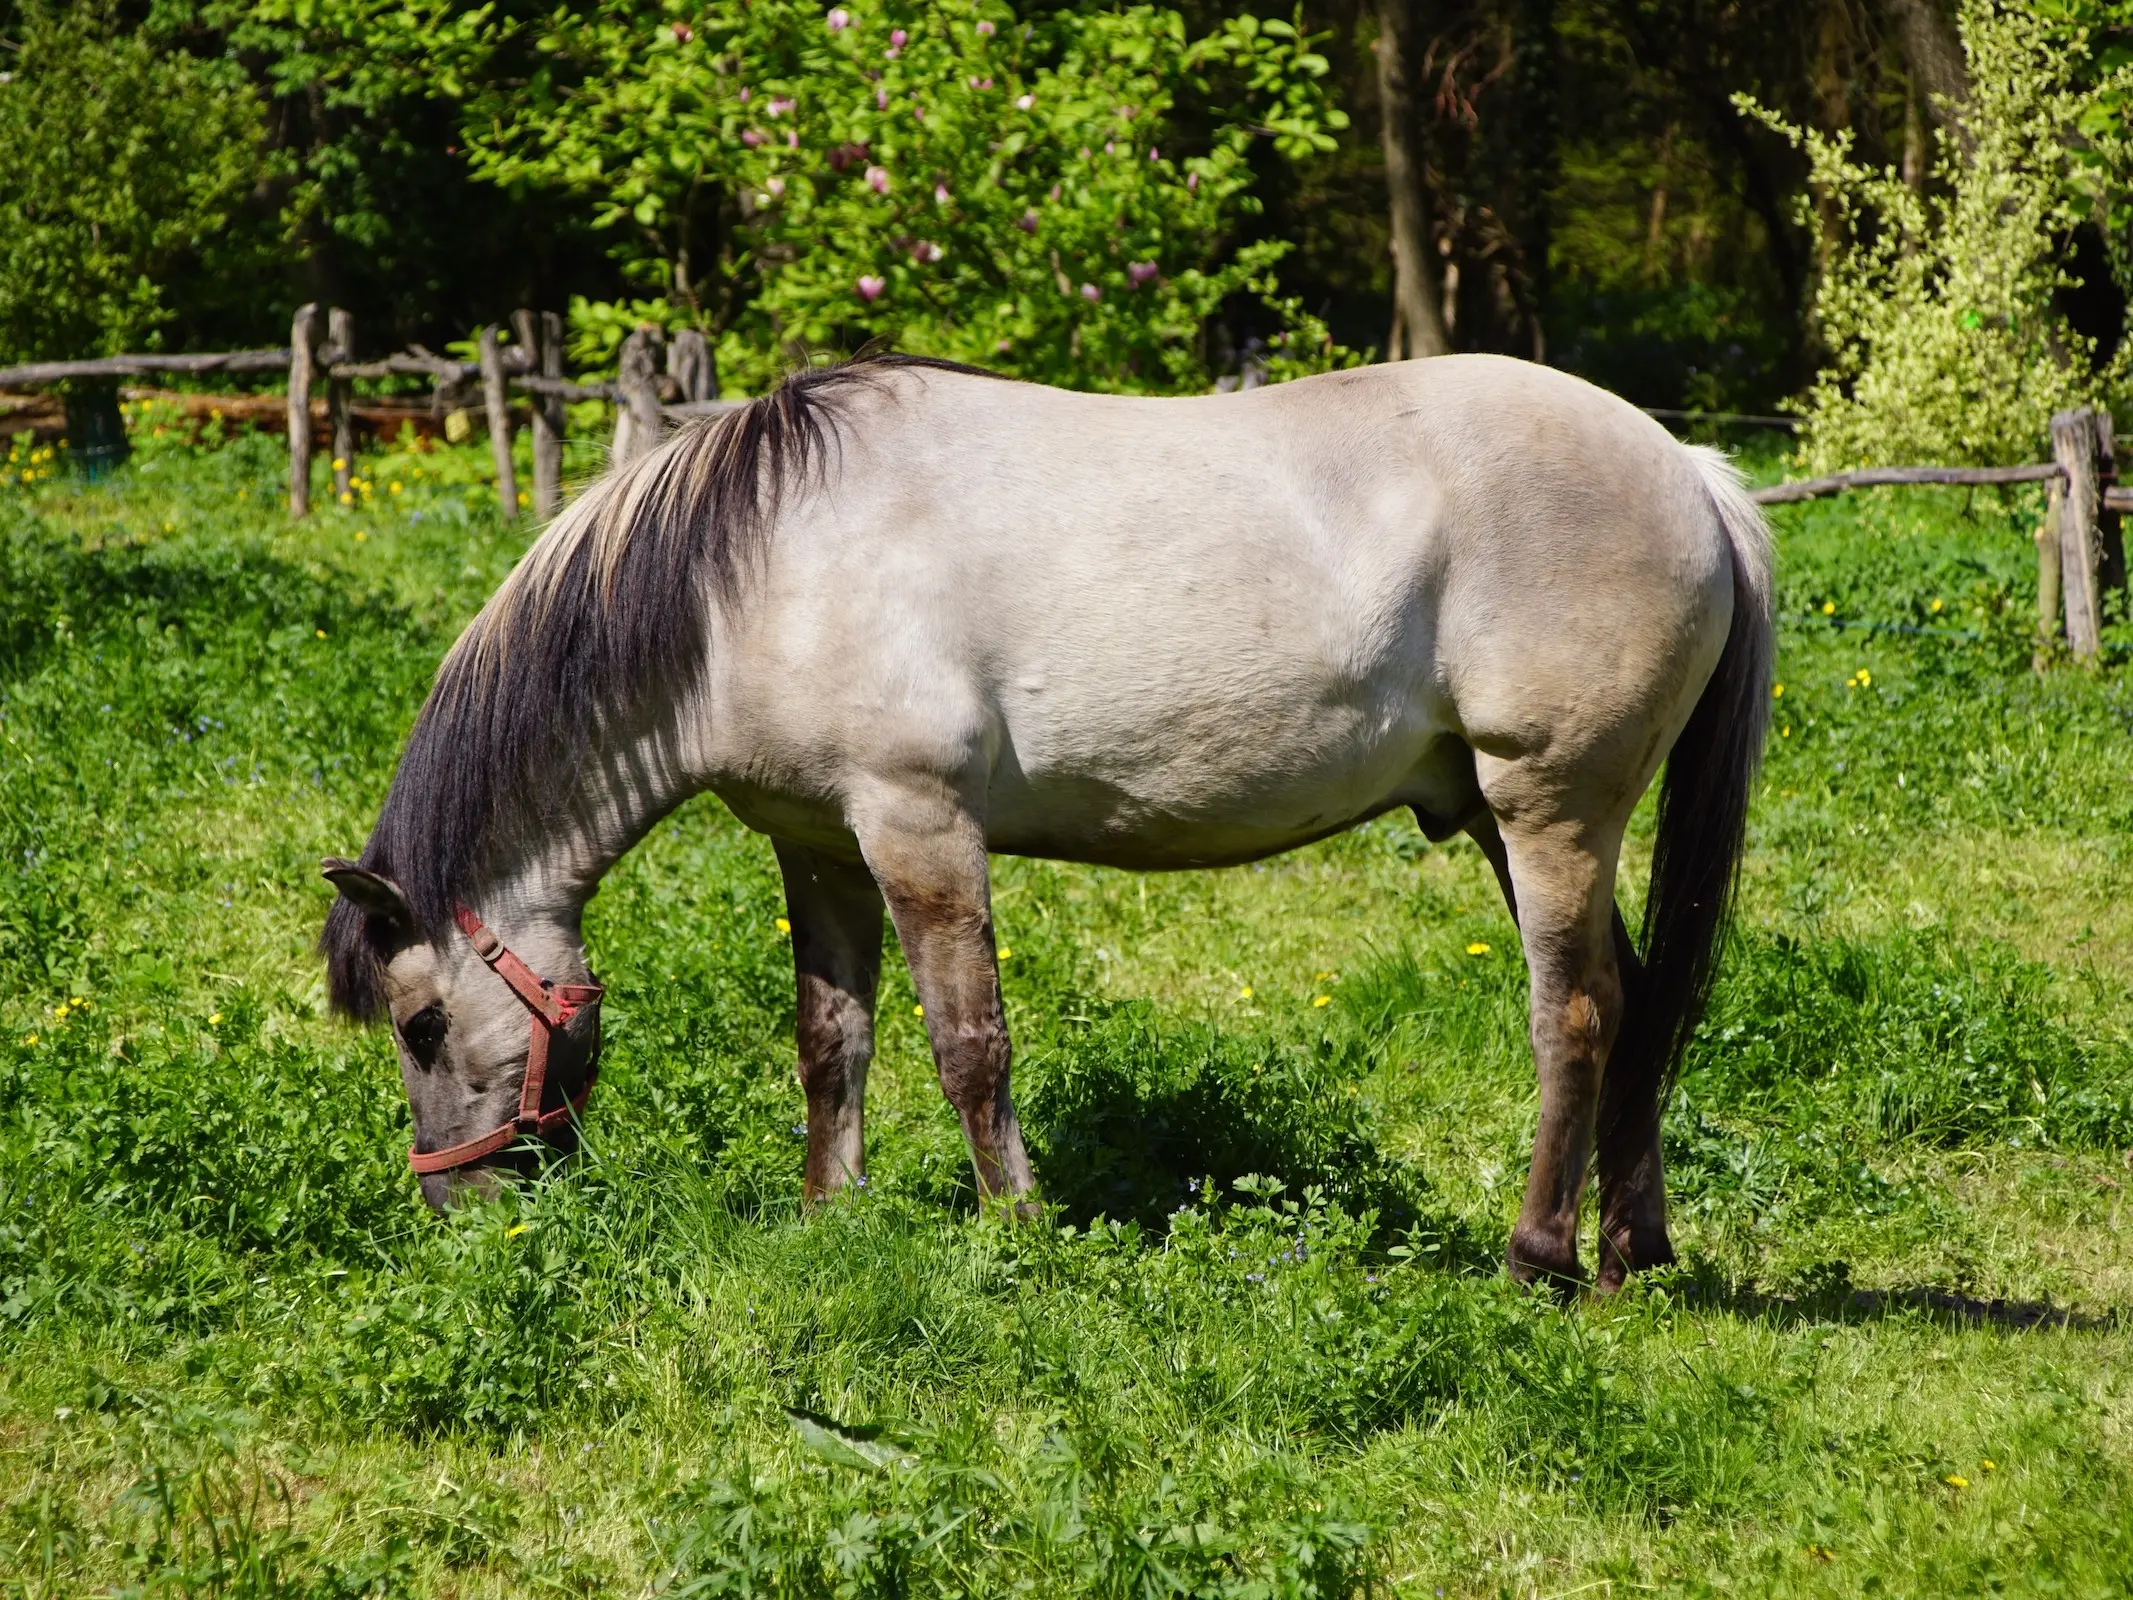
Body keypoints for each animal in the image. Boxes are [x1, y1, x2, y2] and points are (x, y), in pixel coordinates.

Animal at [320, 351, 1771, 1290]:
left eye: (421, 1023)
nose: (454, 1204)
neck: (755, 571)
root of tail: (1691, 470)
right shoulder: (820, 847)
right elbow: (832, 1044)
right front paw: (830, 1218)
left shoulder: (917, 827)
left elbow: (971, 1046)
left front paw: (1013, 1230)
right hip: (1505, 818)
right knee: (1639, 1000)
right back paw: (1634, 1250)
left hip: (1550, 807)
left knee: (1573, 1013)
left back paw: (1539, 1257)